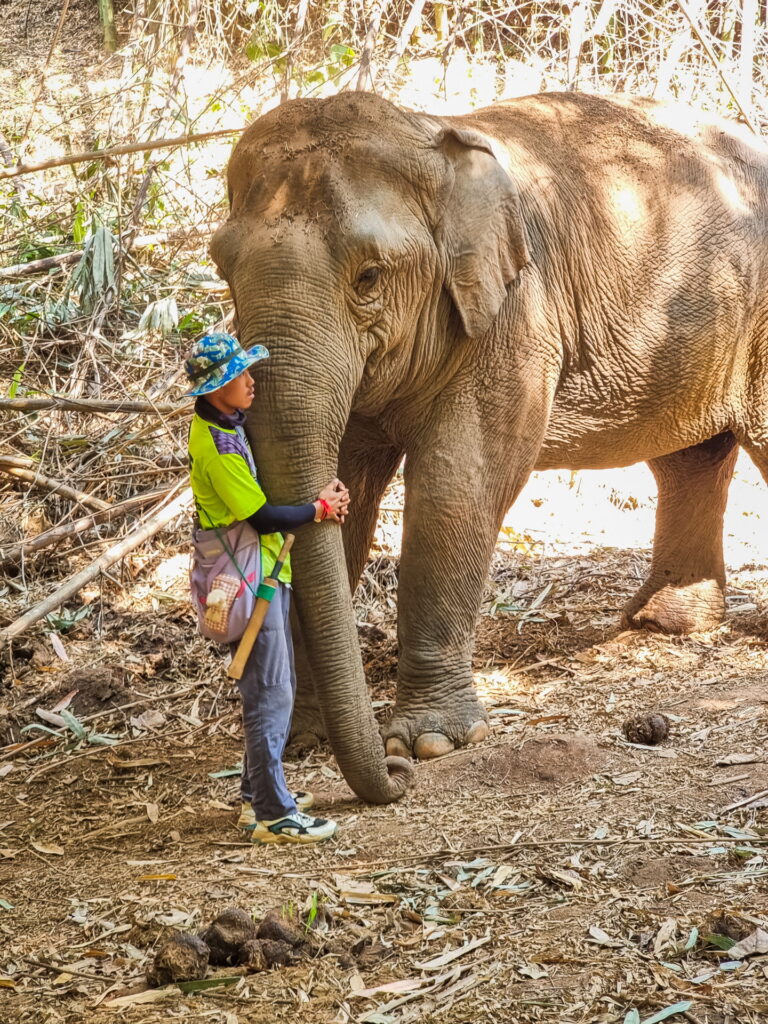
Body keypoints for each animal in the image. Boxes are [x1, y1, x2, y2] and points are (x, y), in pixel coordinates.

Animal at [210, 89, 768, 805]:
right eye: (223, 271)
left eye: (369, 276)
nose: (394, 779)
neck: (430, 133)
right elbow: (352, 494)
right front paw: (304, 738)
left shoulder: (516, 314)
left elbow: (458, 484)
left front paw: (429, 744)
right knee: (689, 459)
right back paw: (661, 626)